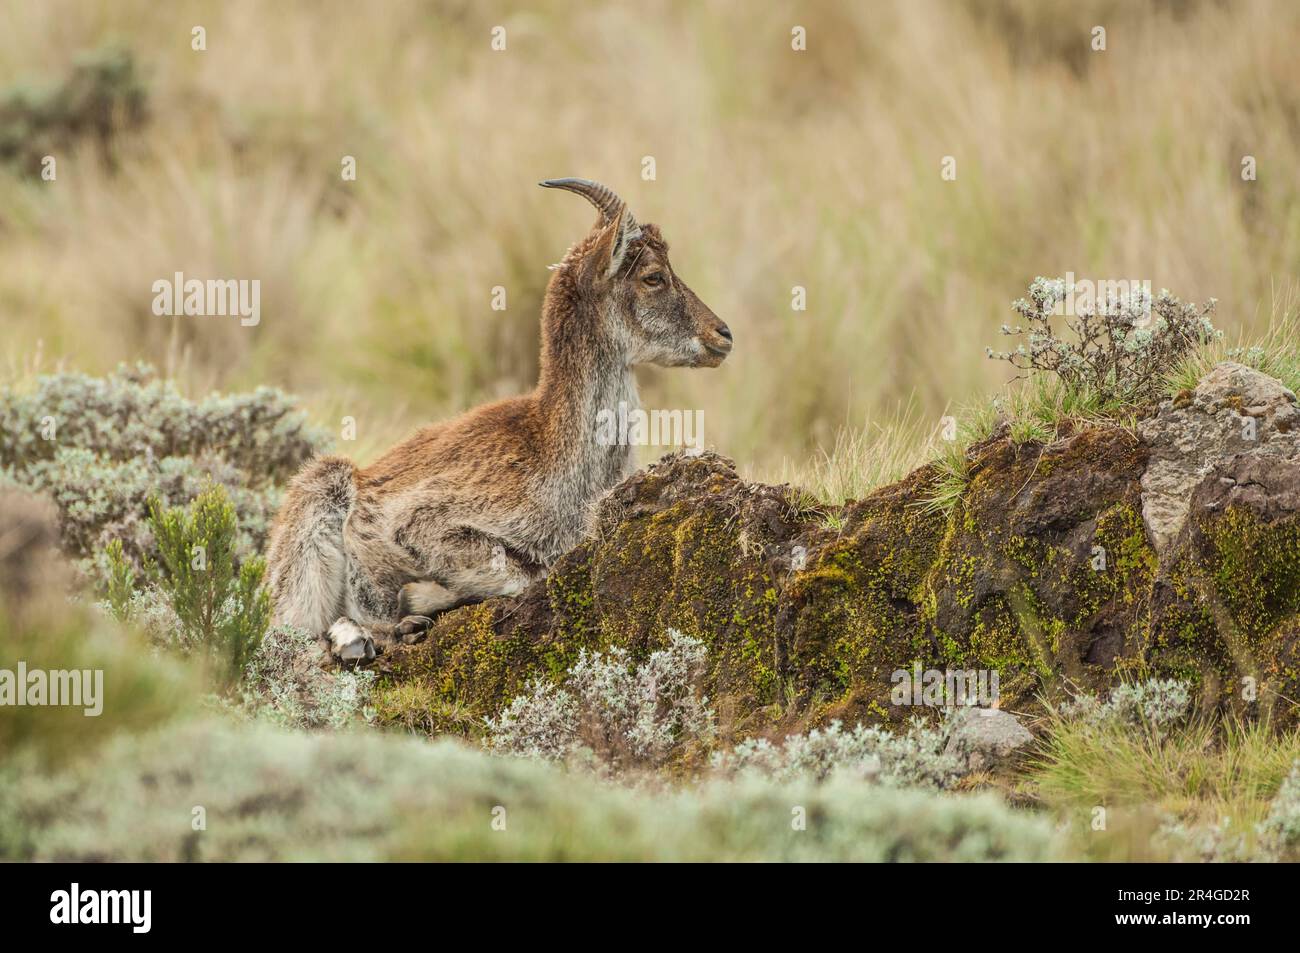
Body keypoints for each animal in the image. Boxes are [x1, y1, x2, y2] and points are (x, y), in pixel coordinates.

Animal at [265, 178, 733, 660]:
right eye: (653, 276)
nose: (722, 335)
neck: (553, 451)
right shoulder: (410, 523)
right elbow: (515, 571)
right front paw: (409, 604)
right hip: (318, 506)